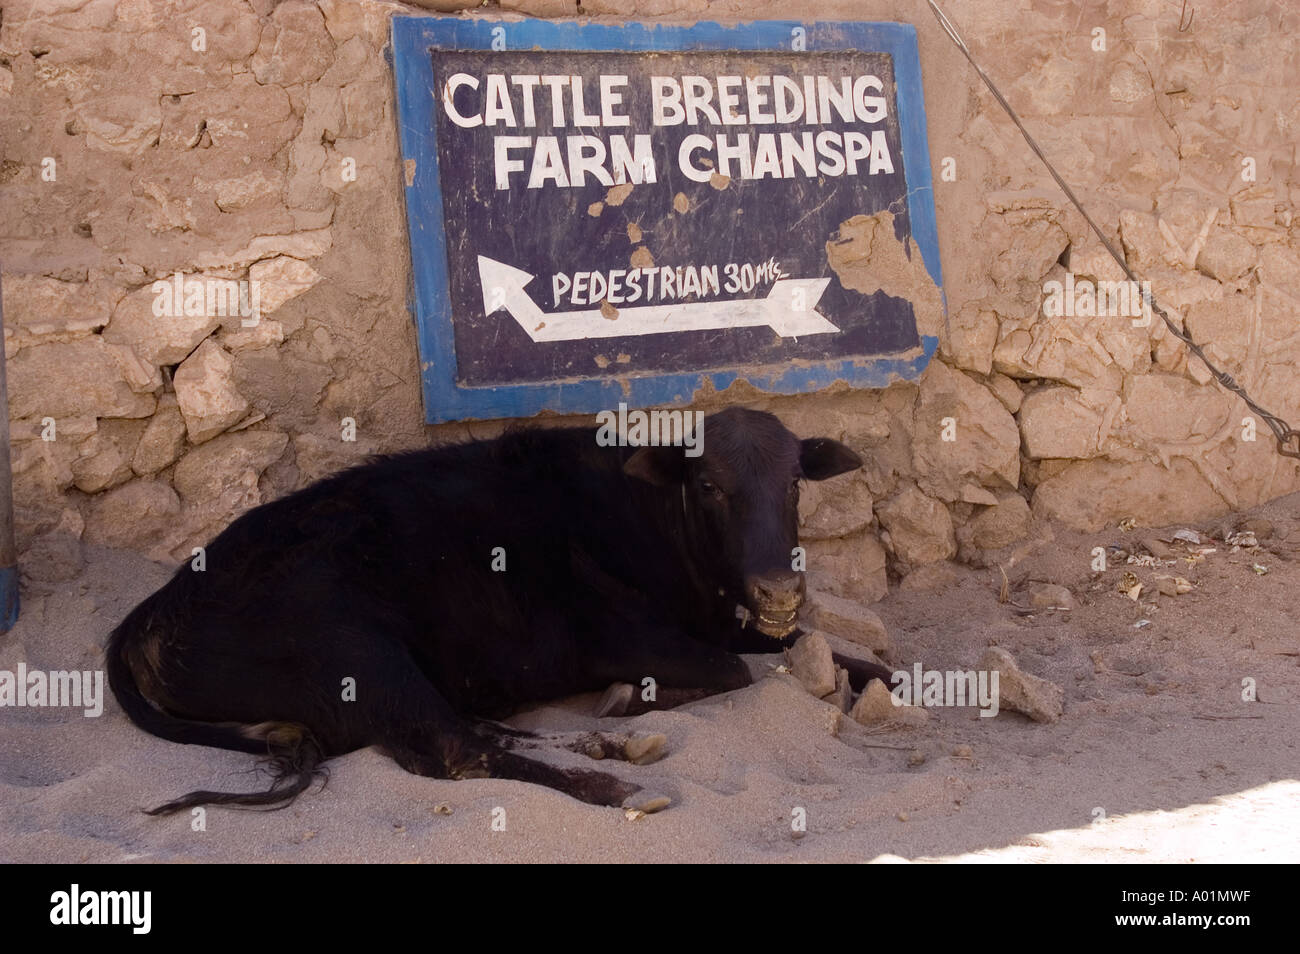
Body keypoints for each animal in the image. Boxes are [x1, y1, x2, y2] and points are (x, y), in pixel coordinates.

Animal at [107, 407, 892, 814]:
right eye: (709, 486)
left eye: (795, 482)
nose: (778, 589)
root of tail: (150, 614)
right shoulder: (622, 636)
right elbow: (735, 672)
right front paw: (625, 701)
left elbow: (845, 657)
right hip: (357, 653)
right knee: (459, 751)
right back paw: (616, 783)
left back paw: (601, 748)